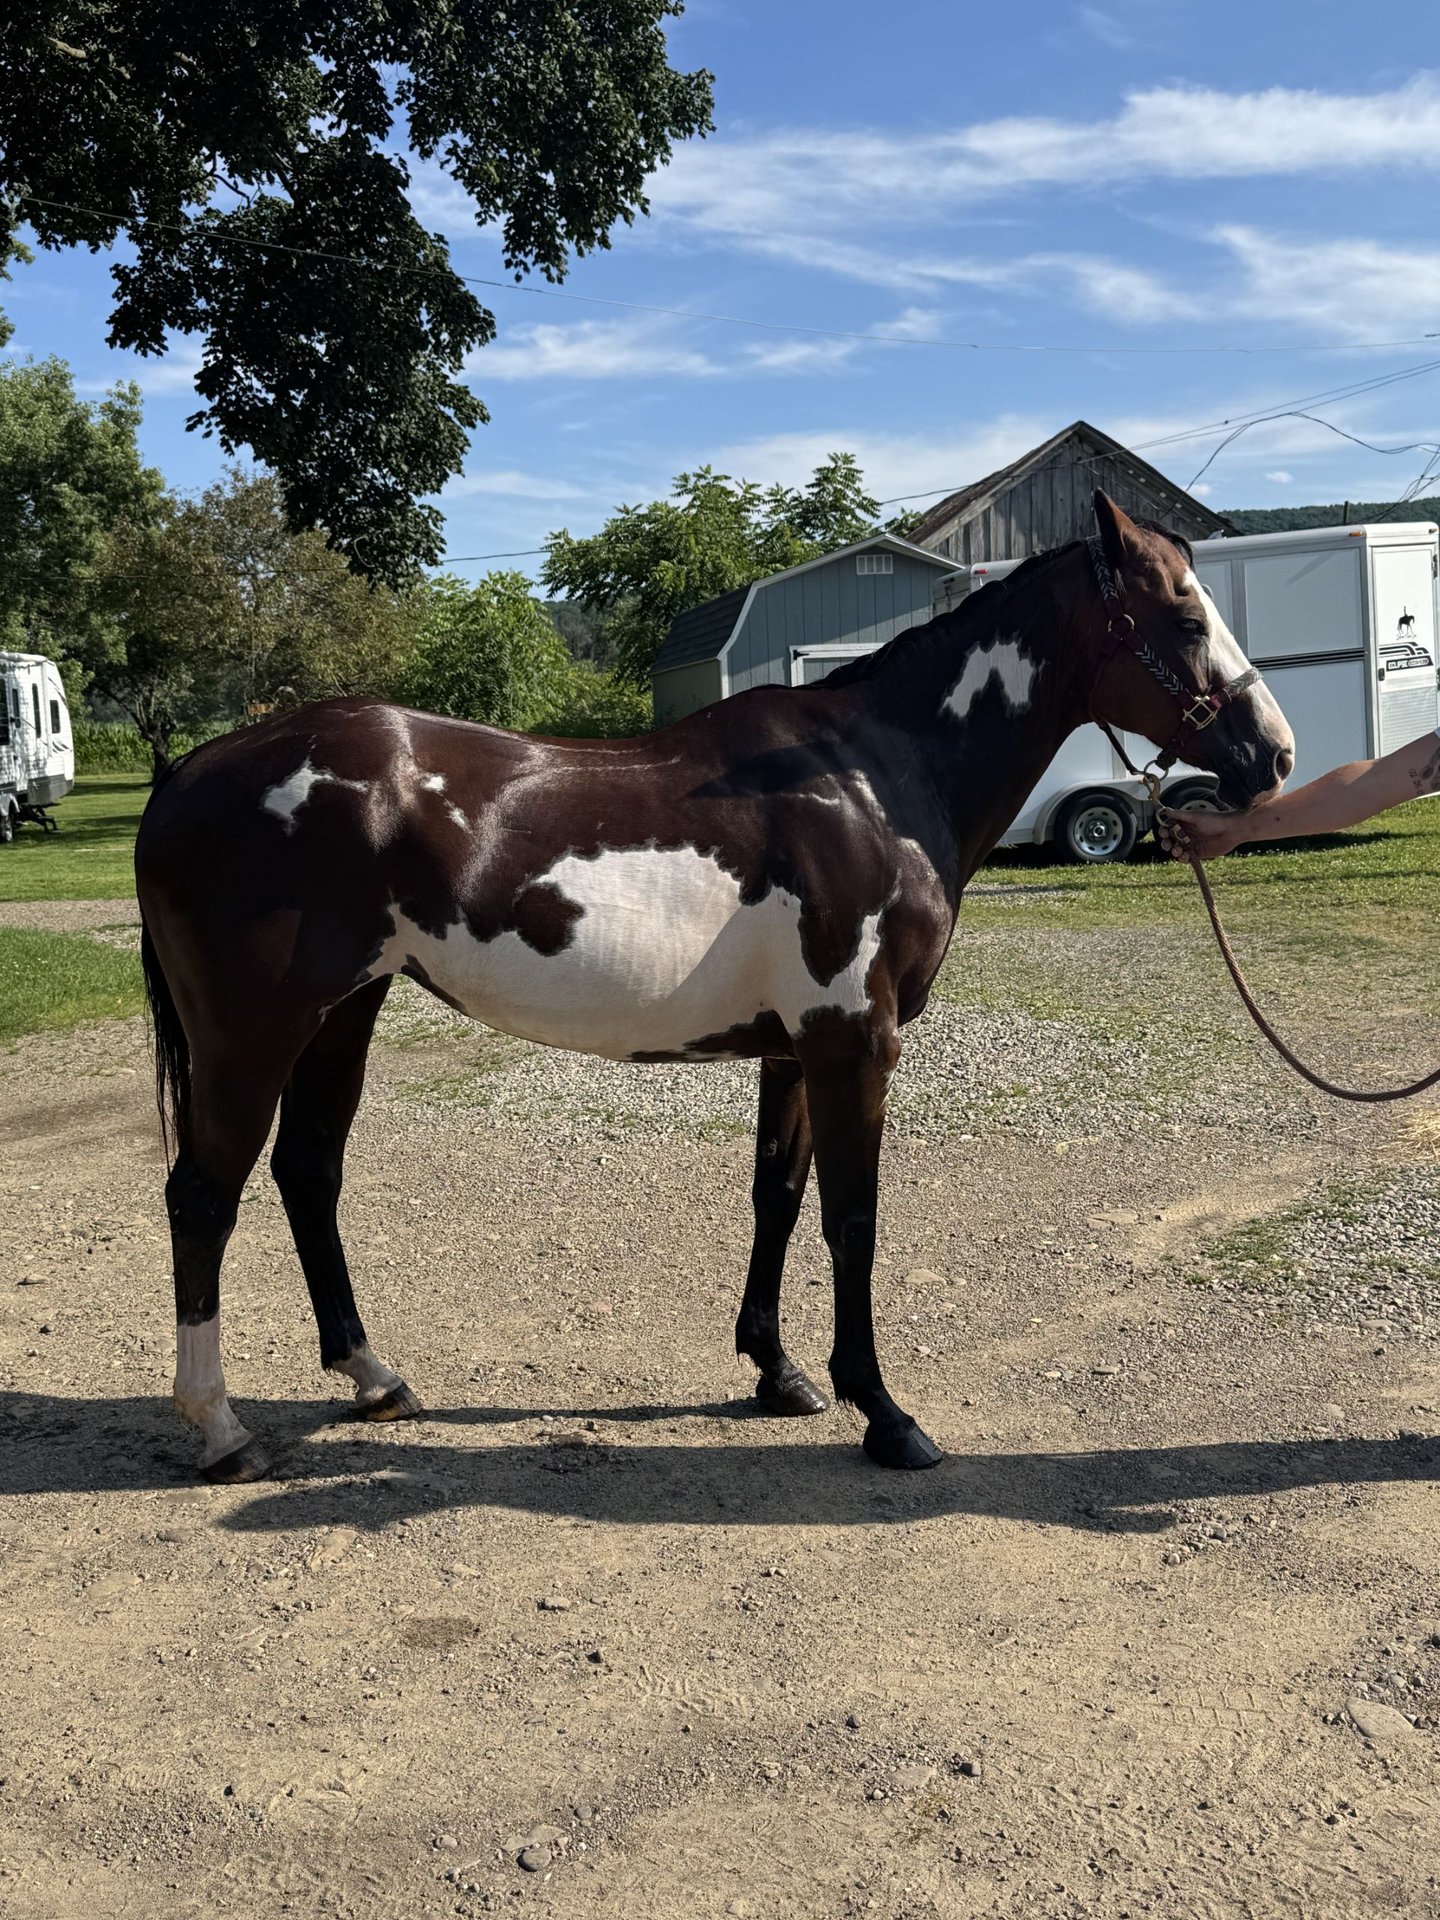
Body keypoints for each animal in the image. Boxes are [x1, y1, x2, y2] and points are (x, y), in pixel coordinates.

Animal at [134, 493, 1294, 1484]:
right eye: (1184, 616)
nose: (1273, 757)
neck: (870, 777)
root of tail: (188, 771)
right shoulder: (854, 1040)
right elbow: (853, 1219)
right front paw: (885, 1414)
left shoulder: (795, 1044)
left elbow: (777, 1197)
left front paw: (779, 1373)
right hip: (253, 1036)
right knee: (203, 1197)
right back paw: (221, 1429)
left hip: (344, 1014)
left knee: (307, 1174)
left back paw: (374, 1379)